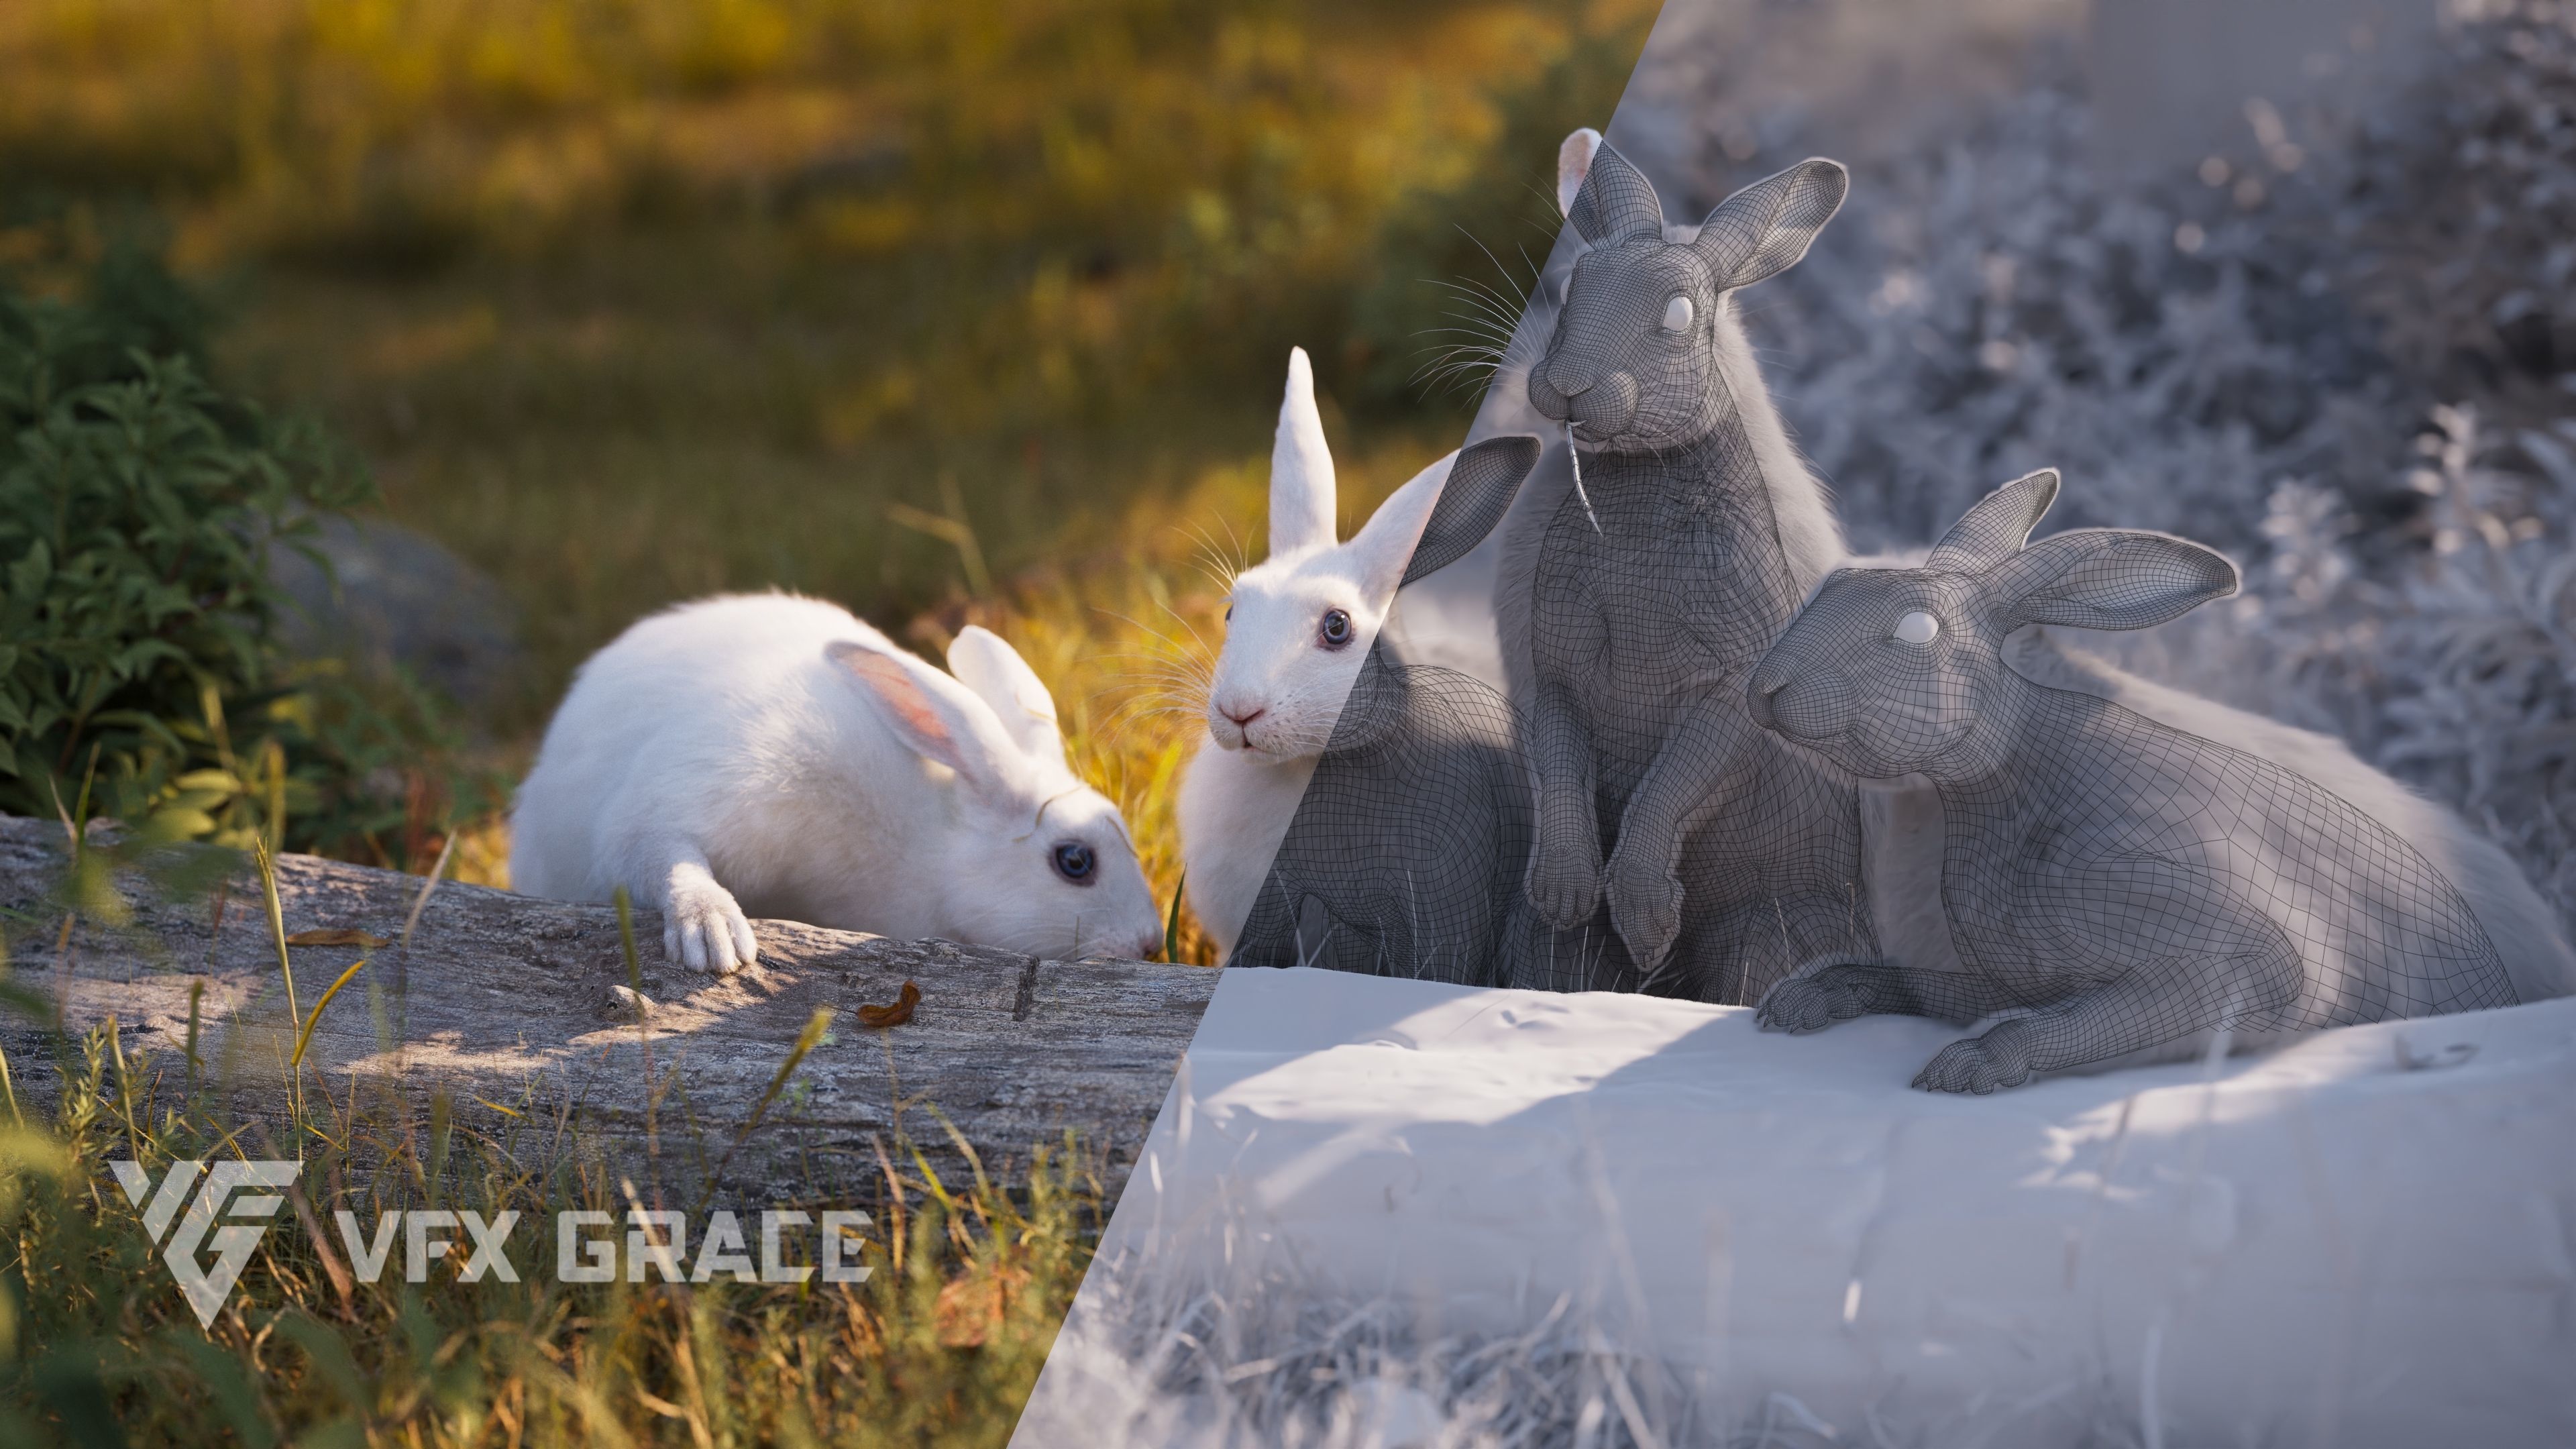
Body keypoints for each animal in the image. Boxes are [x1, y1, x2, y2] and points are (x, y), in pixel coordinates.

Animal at [511, 593, 1163, 972]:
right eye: (1075, 861)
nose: (1151, 944)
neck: (923, 848)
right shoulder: (685, 794)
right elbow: (663, 856)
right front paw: (714, 934)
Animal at [1510, 126, 1875, 1001]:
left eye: (1678, 315)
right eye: (1572, 287)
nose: (1567, 387)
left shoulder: (1733, 684)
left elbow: (1671, 787)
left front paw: (1645, 922)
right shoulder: (1556, 670)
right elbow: (1562, 762)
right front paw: (1566, 893)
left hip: (1775, 930)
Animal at [1745, 469, 2553, 1092]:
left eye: (1917, 630)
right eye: (1833, 582)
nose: (1765, 689)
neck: (2010, 775)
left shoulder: (2224, 950)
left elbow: (2074, 1026)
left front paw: (1967, 1069)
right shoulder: (2016, 978)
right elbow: (1913, 982)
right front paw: (1804, 1001)